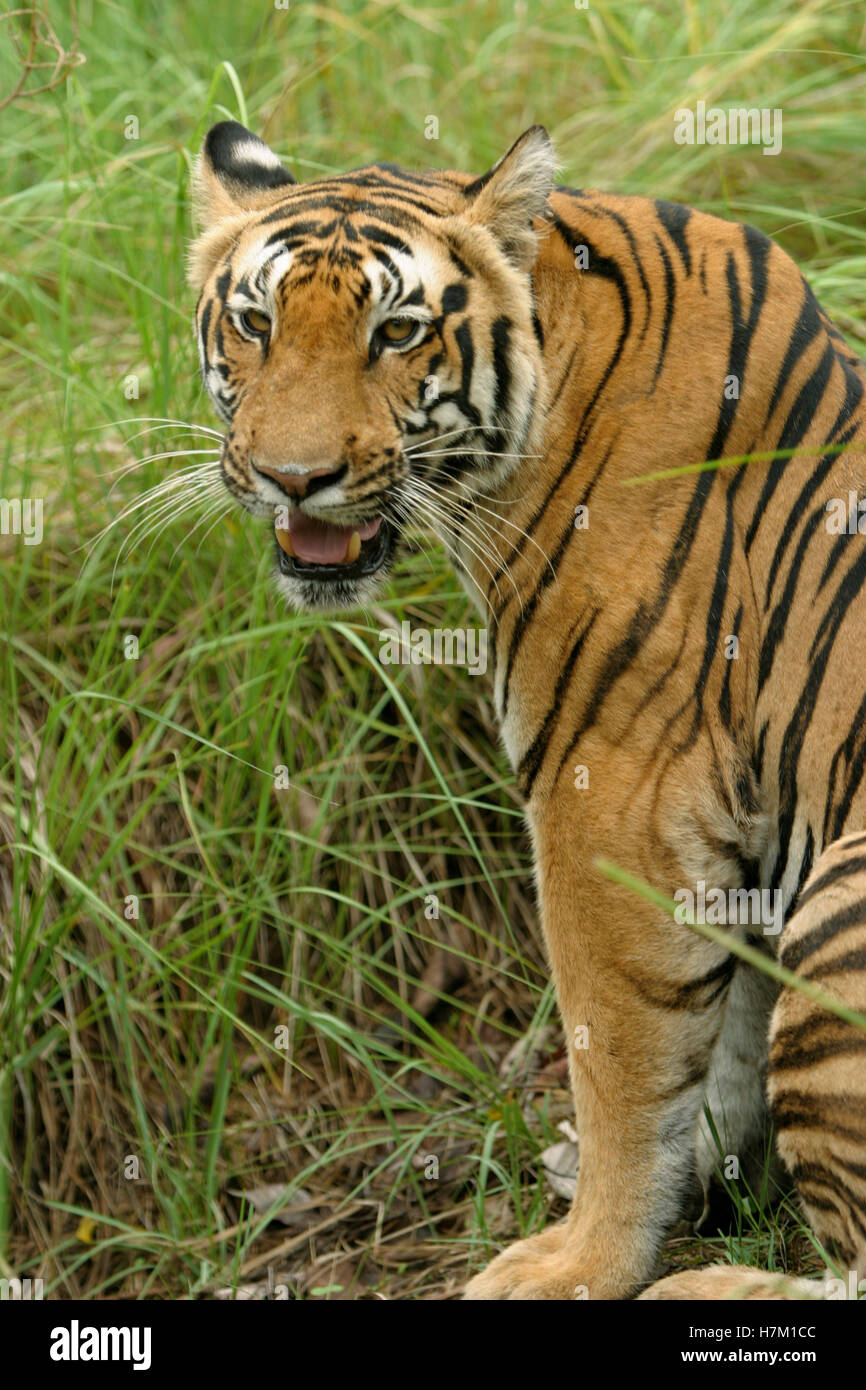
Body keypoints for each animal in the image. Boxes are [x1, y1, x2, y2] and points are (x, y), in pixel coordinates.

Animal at [187, 119, 866, 1300]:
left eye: (396, 332)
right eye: (256, 323)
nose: (292, 478)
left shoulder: (614, 796)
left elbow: (618, 1057)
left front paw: (583, 1259)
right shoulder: (743, 823)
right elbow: (724, 1039)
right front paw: (712, 1177)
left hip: (844, 903)